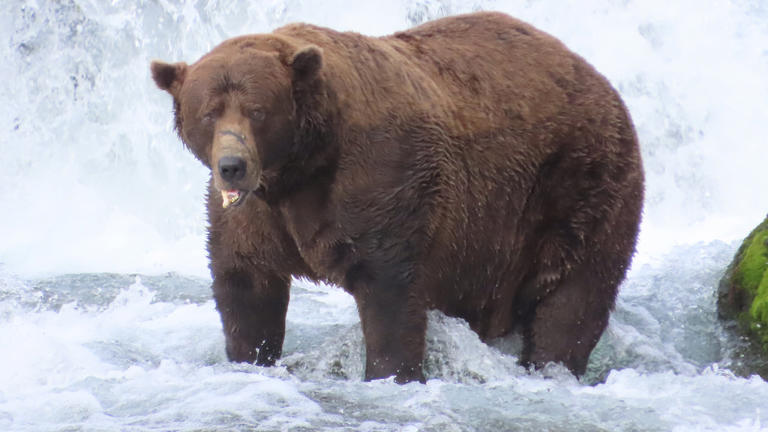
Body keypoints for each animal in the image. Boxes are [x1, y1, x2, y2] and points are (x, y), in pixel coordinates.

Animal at [151, 11, 644, 383]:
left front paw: (391, 372)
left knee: (573, 297)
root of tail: (598, 78)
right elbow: (246, 284)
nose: (232, 165)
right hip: (490, 243)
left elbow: (389, 290)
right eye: (209, 112)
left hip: (579, 184)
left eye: (257, 110)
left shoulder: (382, 180)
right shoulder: (255, 215)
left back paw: (551, 365)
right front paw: (250, 356)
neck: (301, 168)